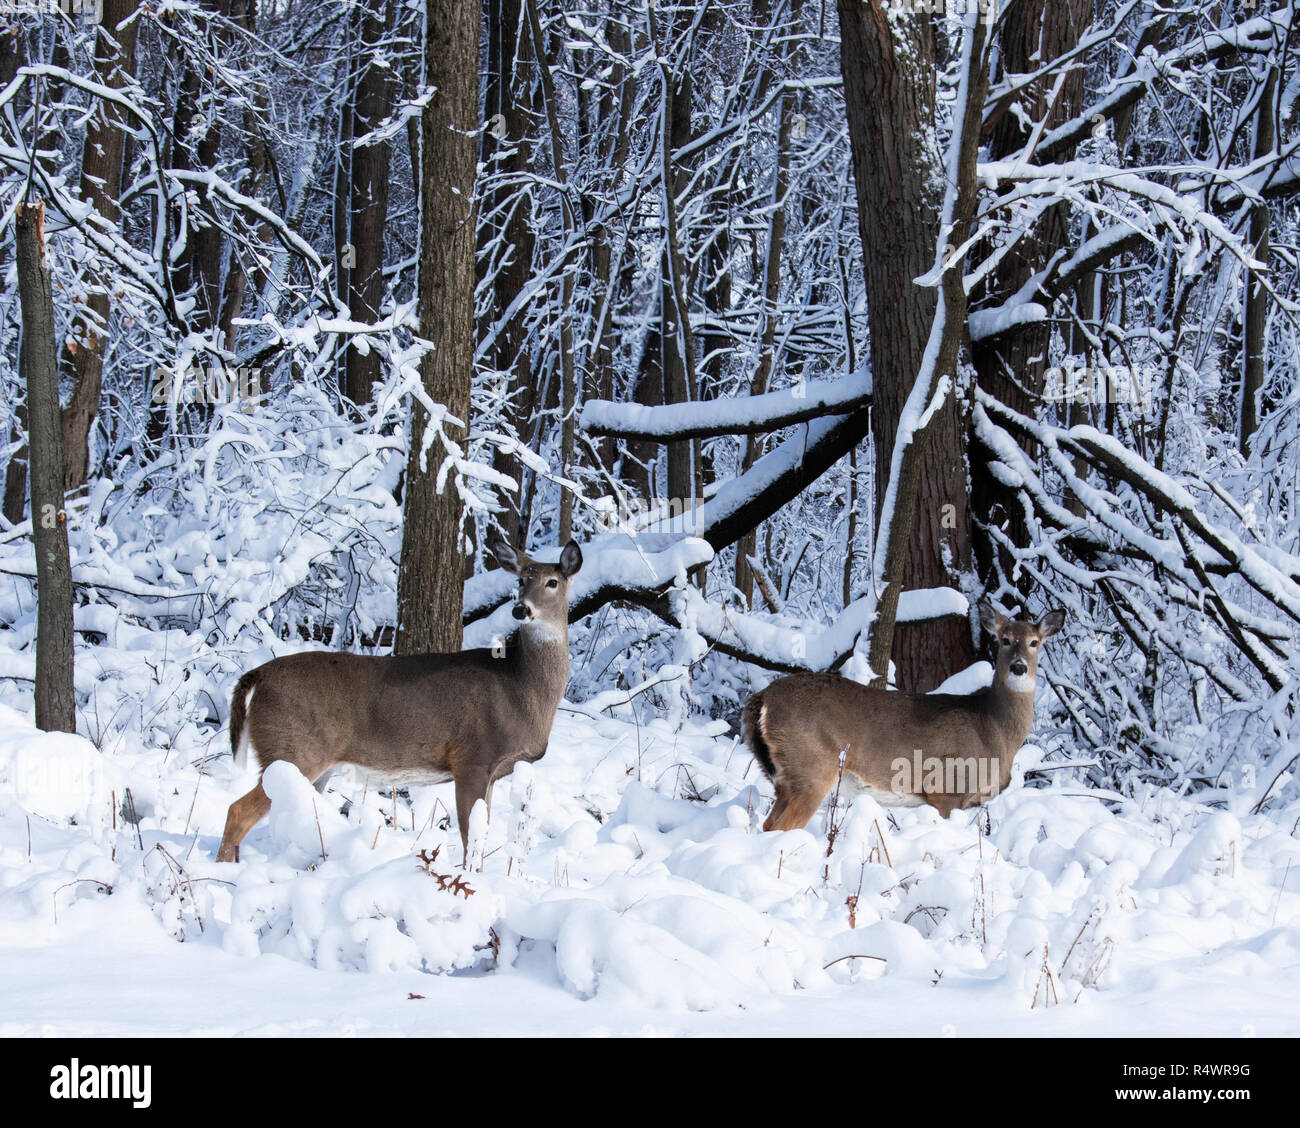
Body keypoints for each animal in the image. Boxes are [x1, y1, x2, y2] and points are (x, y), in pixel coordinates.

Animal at [216, 539, 583, 864]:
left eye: (552, 582)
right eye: (520, 580)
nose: (521, 609)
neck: (520, 687)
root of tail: (258, 675)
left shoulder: (491, 770)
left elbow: (482, 831)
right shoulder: (472, 757)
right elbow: (470, 837)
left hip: (309, 764)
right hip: (293, 749)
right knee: (236, 810)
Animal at [741, 603, 1065, 831]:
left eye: (1035, 642)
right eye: (1004, 639)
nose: (1019, 667)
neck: (993, 727)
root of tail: (762, 699)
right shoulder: (946, 787)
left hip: (784, 778)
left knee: (767, 824)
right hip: (811, 768)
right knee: (779, 827)